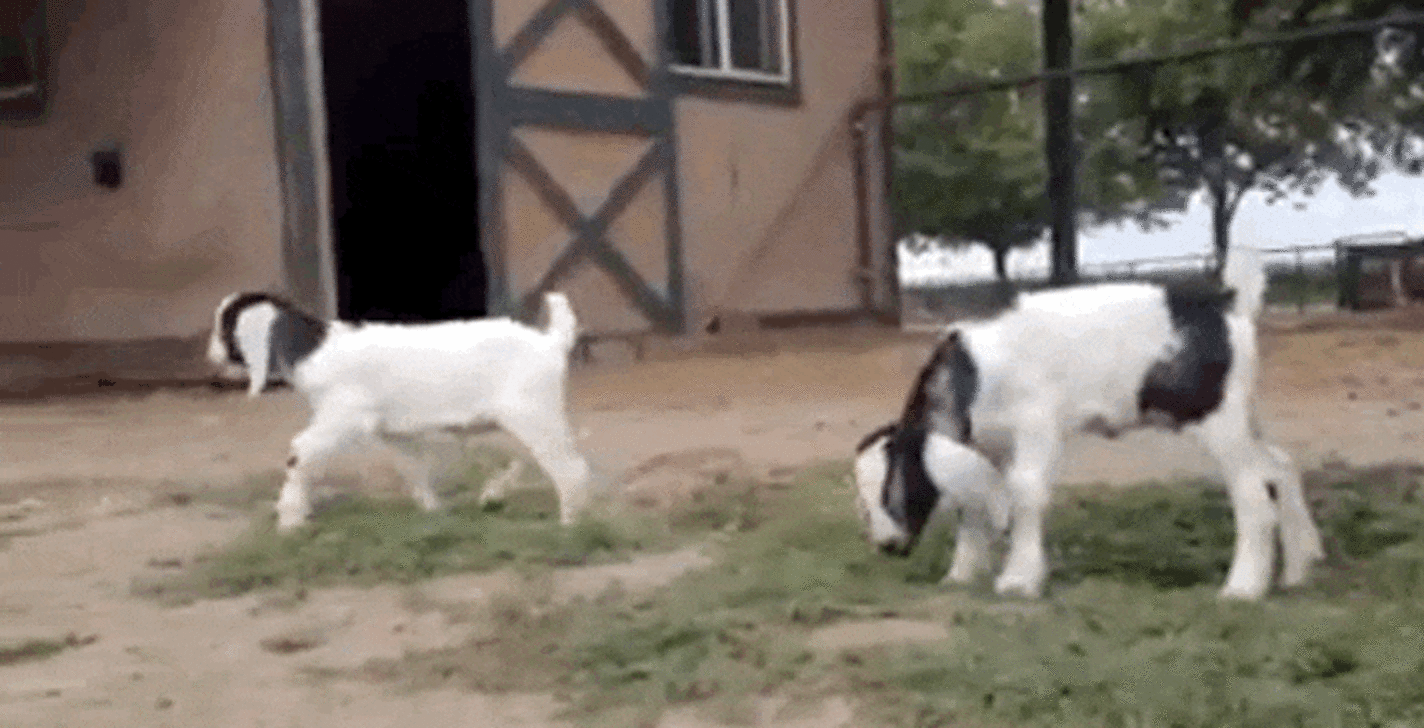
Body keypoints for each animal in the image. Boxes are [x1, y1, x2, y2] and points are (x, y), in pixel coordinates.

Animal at [206, 292, 592, 531]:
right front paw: (435, 513)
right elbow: (413, 470)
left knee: (570, 468)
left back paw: (570, 523)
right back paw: (493, 496)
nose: (211, 357)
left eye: (225, 326)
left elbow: (299, 454)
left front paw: (289, 520)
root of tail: (551, 342)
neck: (315, 349)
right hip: (521, 417)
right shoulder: (393, 432)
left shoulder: (343, 417)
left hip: (534, 414)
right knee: (532, 459)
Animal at [854, 247, 1325, 601]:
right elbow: (970, 503)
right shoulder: (989, 445)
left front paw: (1019, 581)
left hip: (1216, 418)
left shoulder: (1037, 421)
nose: (887, 546)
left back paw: (1242, 589)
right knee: (1279, 466)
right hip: (1242, 416)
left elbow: (1026, 491)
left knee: (1252, 493)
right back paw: (1298, 569)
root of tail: (1228, 305)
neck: (974, 373)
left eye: (893, 487)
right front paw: (960, 576)